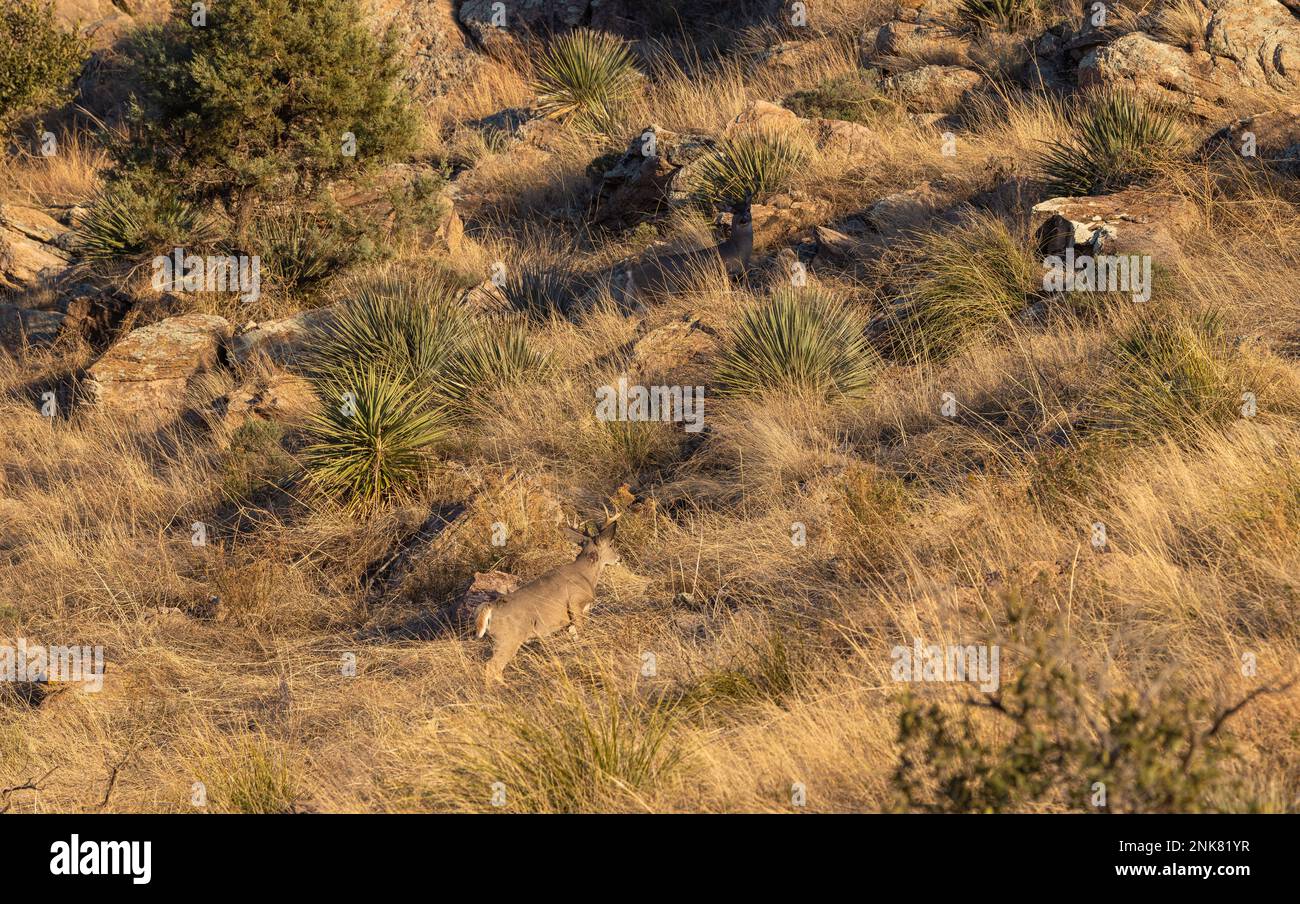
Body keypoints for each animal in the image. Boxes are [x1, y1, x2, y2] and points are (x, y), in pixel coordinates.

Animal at [474, 512, 622, 683]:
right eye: (610, 545)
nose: (619, 559)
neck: (586, 574)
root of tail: (491, 608)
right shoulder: (576, 603)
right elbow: (580, 632)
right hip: (508, 639)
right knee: (492, 667)